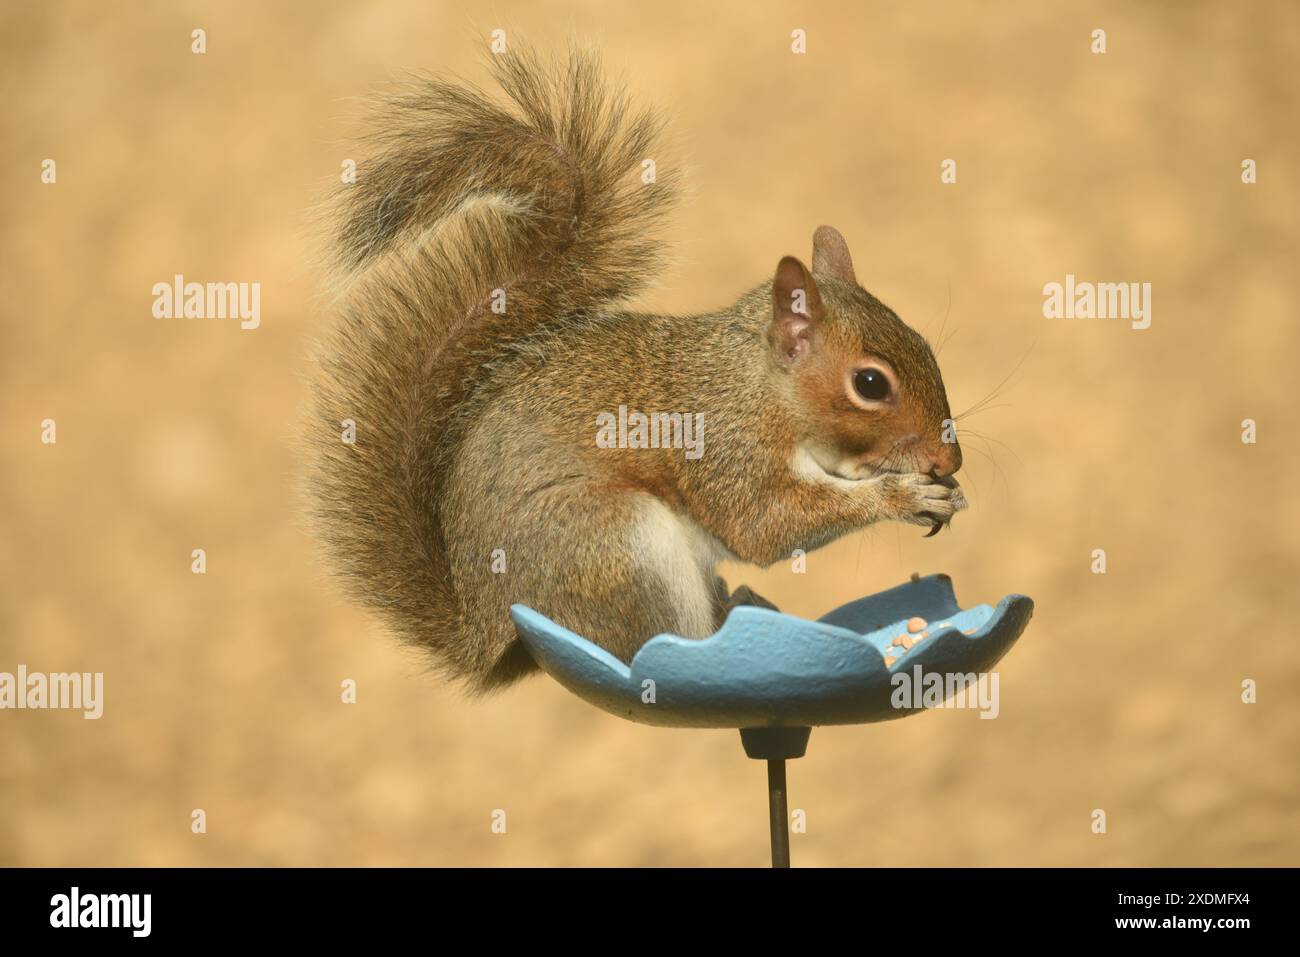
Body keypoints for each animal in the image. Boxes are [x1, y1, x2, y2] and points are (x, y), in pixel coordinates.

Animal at [308, 46, 966, 693]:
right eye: (870, 383)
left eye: (923, 345)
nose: (949, 460)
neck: (757, 389)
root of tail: (489, 624)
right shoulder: (724, 454)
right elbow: (765, 525)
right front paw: (903, 495)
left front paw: (940, 492)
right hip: (613, 544)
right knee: (656, 647)